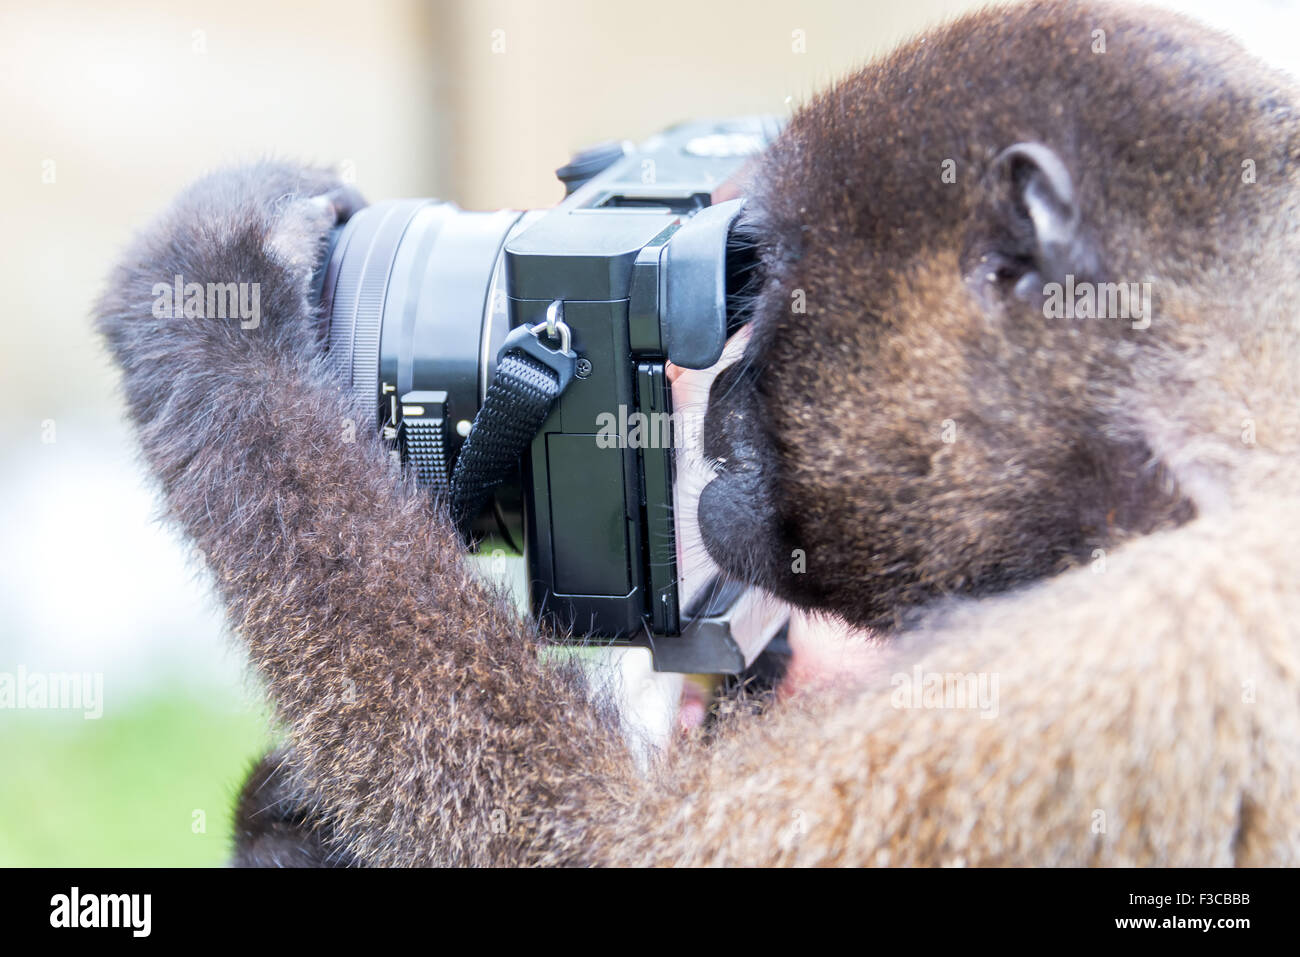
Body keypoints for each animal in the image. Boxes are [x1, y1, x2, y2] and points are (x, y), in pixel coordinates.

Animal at [95, 0, 1300, 866]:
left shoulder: (1133, 647)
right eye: (742, 289)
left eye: (775, 290)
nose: (724, 389)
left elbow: (593, 839)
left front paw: (217, 300)